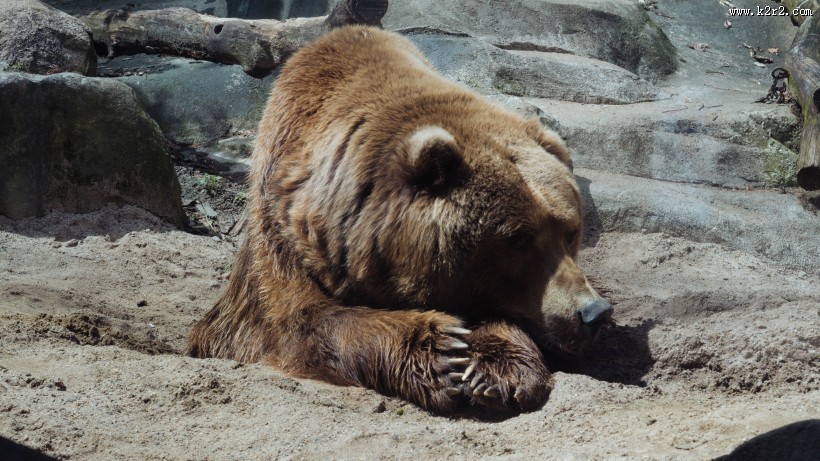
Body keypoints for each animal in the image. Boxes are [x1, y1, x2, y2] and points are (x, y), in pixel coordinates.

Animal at [187, 25, 613, 413]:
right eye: (519, 238)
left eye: (570, 231)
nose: (593, 312)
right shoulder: (283, 232)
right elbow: (297, 320)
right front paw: (442, 351)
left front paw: (494, 369)